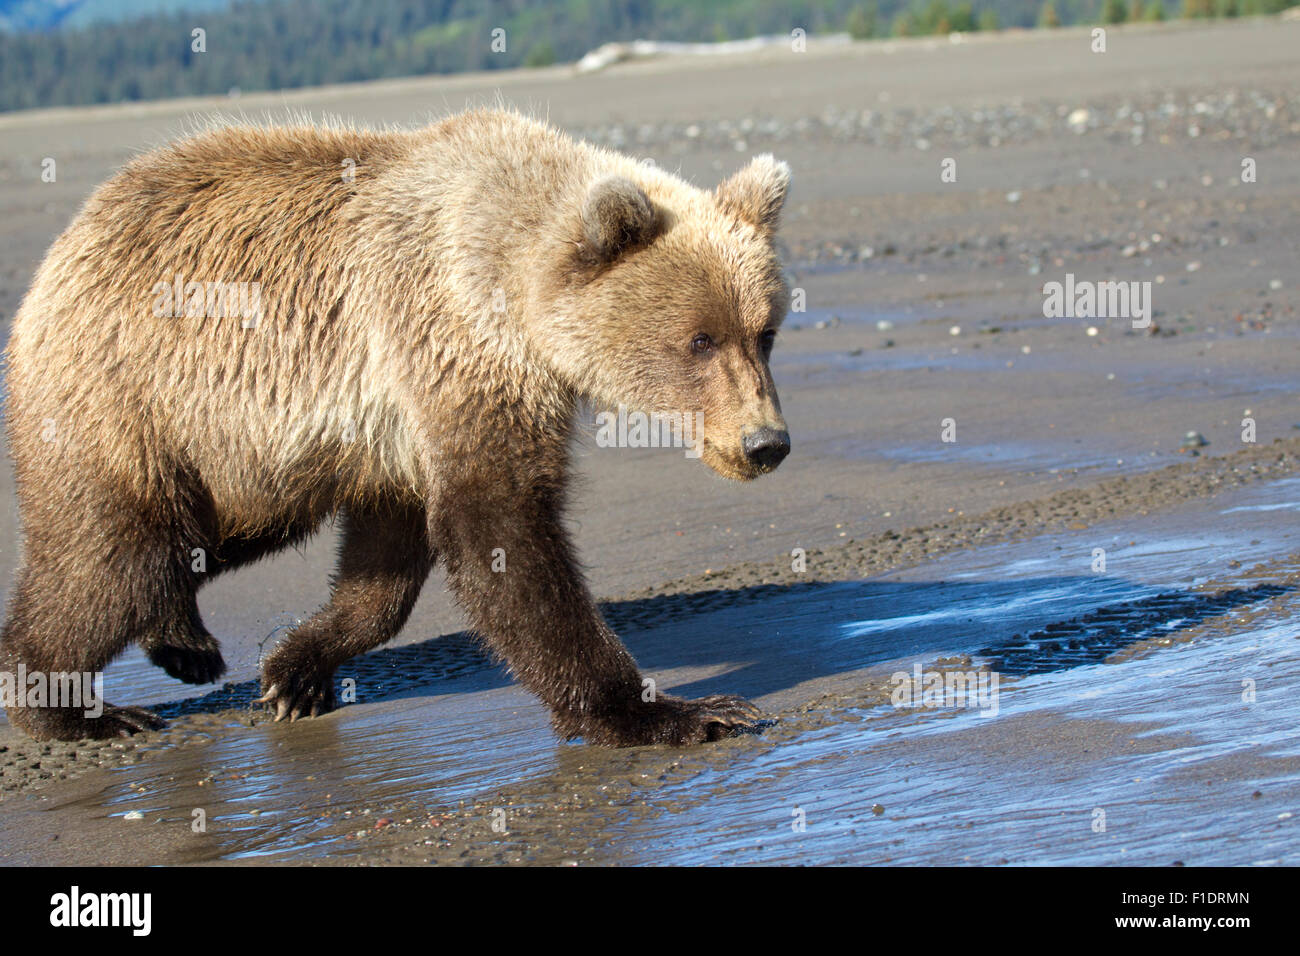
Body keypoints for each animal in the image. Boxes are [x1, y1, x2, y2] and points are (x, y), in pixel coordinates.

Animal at [0, 108, 792, 747]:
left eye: (765, 332)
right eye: (699, 340)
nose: (766, 443)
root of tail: (63, 247)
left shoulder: (400, 432)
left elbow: (386, 568)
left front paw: (294, 673)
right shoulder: (447, 342)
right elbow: (500, 531)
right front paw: (674, 711)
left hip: (238, 451)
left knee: (215, 532)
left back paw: (181, 642)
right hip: (132, 400)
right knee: (118, 556)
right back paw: (72, 706)